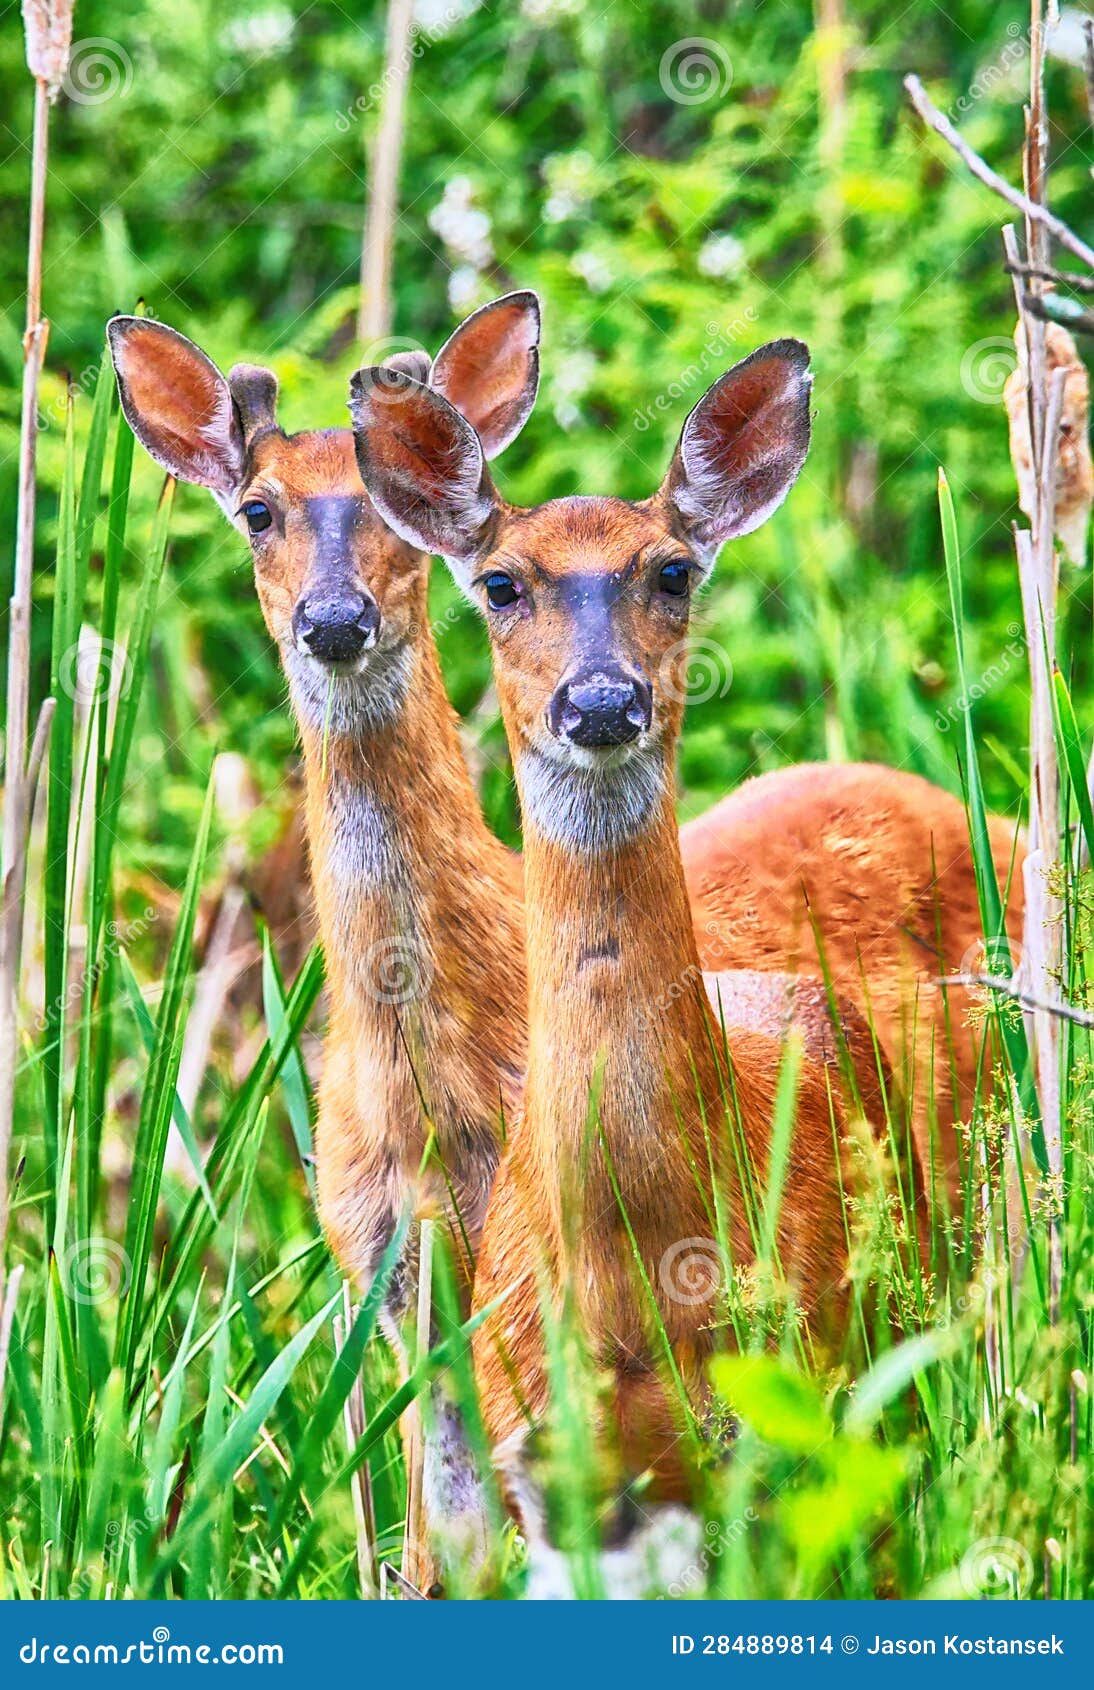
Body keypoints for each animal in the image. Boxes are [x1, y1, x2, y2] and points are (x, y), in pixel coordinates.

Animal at [347, 333, 1018, 1575]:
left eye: (669, 571)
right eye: (500, 582)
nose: (602, 700)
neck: (634, 1258)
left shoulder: (798, 1399)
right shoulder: (533, 1442)